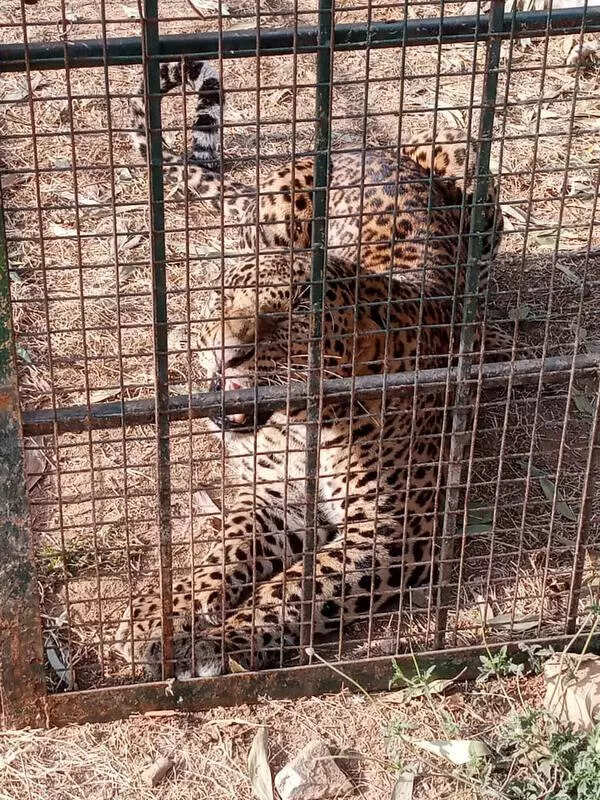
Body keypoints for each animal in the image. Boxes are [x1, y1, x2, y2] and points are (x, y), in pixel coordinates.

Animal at [113, 60, 506, 680]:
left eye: (293, 316)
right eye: (225, 294)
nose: (225, 353)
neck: (310, 423)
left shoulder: (389, 533)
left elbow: (294, 590)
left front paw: (223, 643)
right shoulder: (274, 498)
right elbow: (223, 550)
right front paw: (163, 620)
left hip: (469, 170)